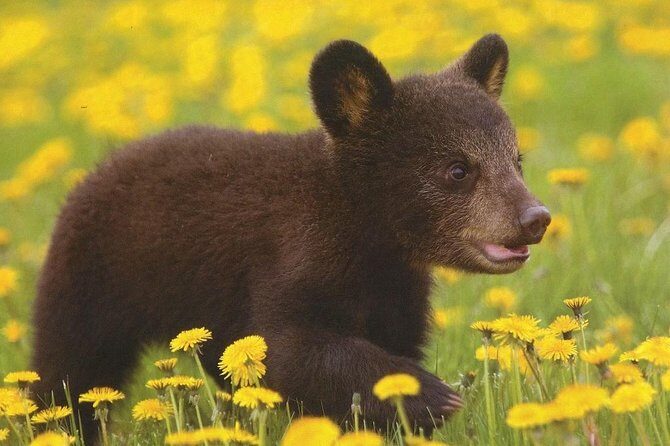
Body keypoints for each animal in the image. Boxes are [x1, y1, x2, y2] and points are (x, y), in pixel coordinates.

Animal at [31, 33, 550, 443]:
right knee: (69, 367)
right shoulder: (290, 256)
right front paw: (433, 395)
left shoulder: (396, 290)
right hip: (92, 279)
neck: (370, 239)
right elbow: (288, 348)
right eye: (458, 169)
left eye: (516, 160)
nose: (535, 218)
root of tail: (90, 175)